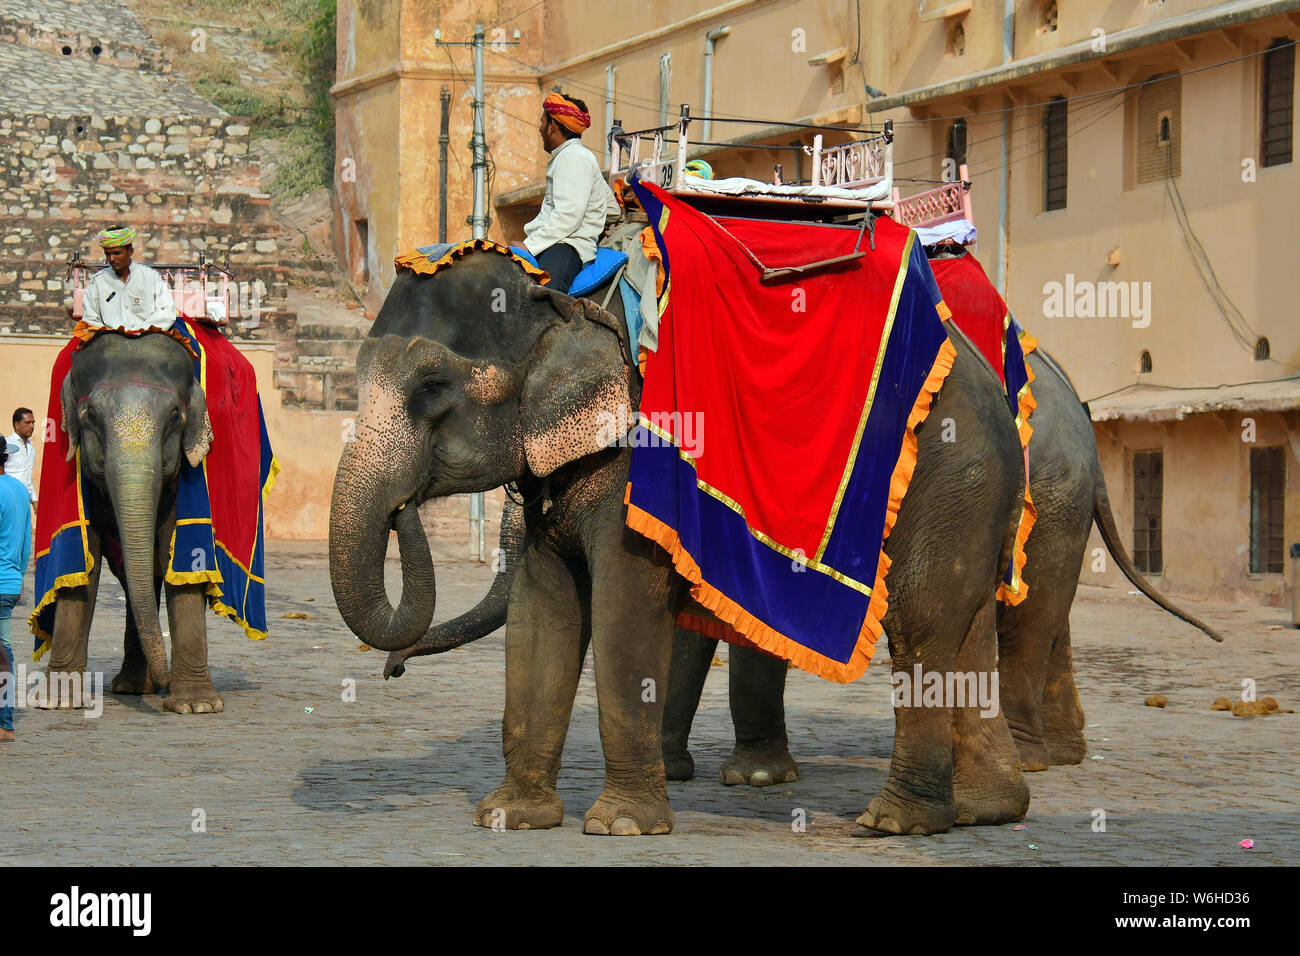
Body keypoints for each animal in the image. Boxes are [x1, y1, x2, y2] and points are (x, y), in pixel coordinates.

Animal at [40, 331, 224, 714]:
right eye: (92, 416)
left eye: (174, 417)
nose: (166, 684)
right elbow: (83, 559)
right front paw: (57, 701)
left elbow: (179, 554)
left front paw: (196, 706)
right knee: (133, 581)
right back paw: (133, 687)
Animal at [330, 244, 1034, 836]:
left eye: (432, 388)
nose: (391, 670)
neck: (566, 299)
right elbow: (542, 609)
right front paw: (509, 818)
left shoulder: (635, 468)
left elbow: (623, 605)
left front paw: (621, 826)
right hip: (971, 496)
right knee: (967, 627)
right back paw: (985, 811)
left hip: (950, 476)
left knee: (922, 625)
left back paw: (895, 822)